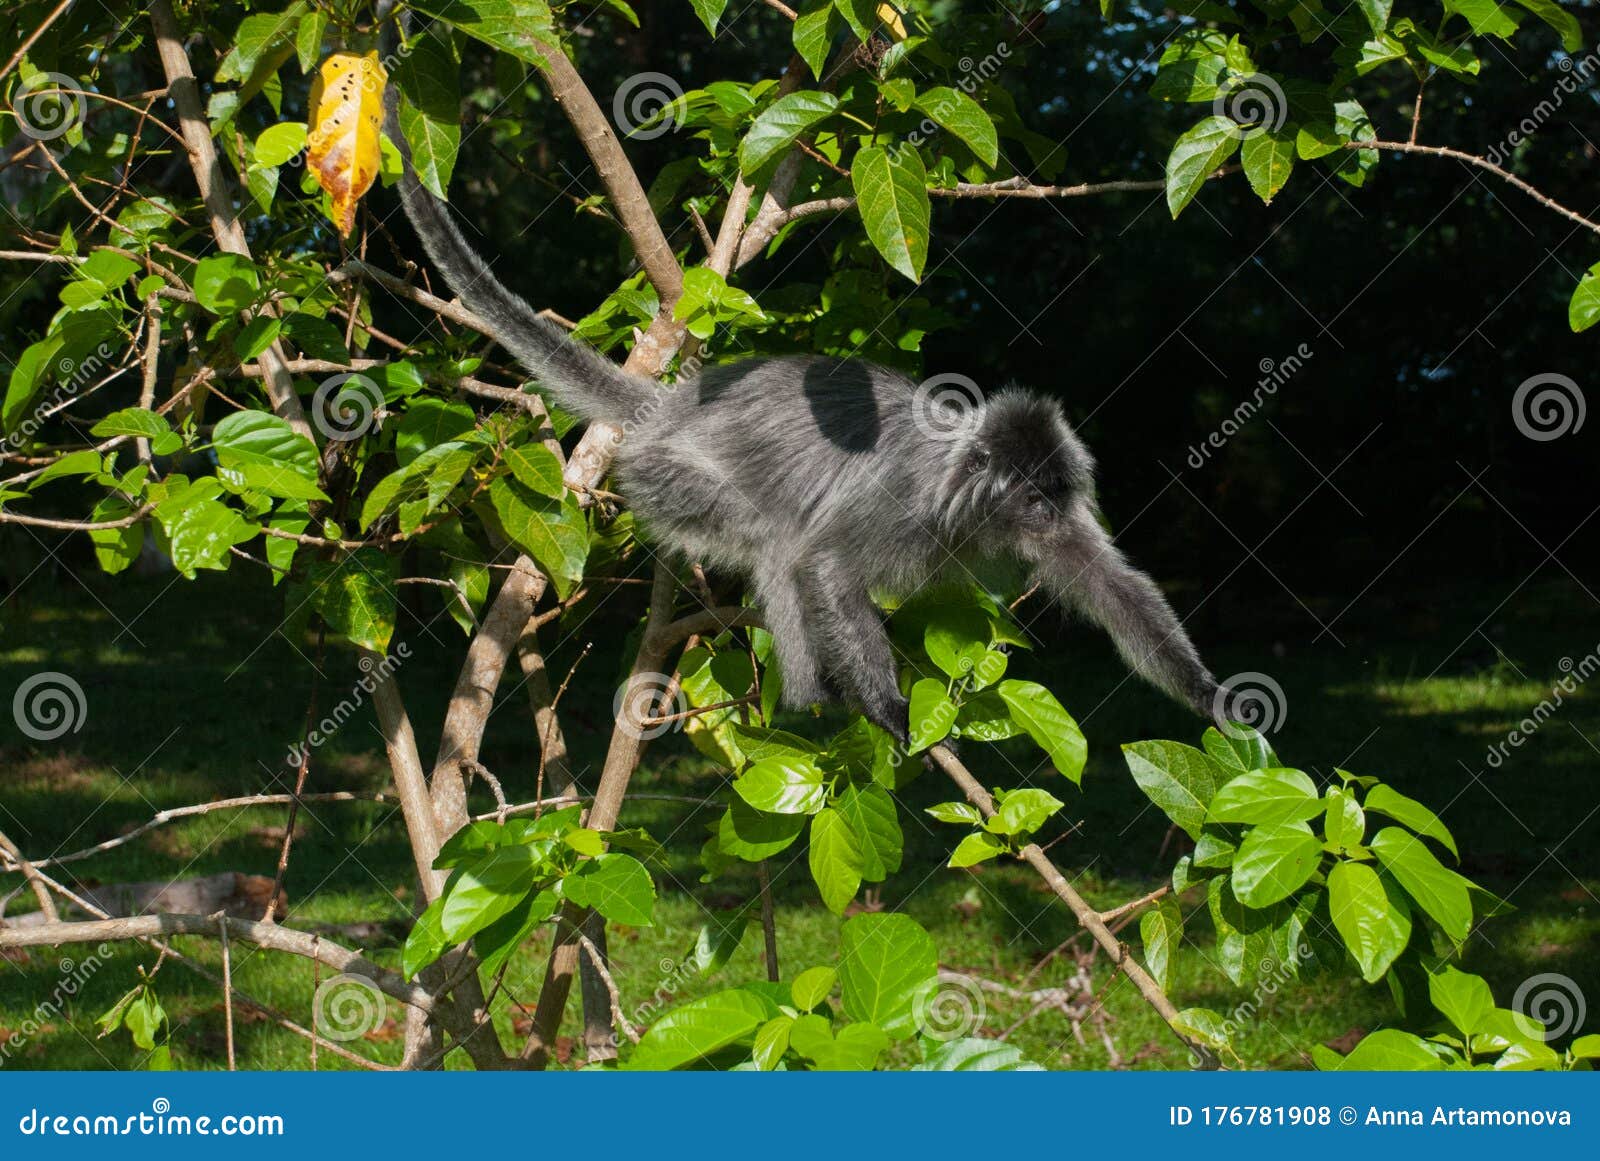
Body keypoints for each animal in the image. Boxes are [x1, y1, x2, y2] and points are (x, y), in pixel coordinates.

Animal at [382, 108, 1235, 745]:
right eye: (1032, 499)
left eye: (1056, 498)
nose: (1052, 517)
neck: (964, 486)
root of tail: (668, 409)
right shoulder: (904, 498)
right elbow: (824, 562)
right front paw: (887, 707)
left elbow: (1110, 583)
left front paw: (1214, 696)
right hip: (658, 473)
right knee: (778, 538)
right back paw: (807, 704)